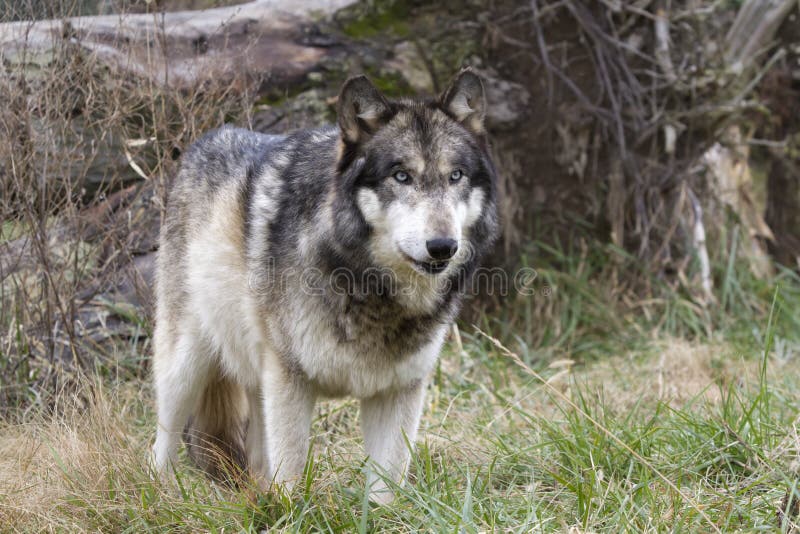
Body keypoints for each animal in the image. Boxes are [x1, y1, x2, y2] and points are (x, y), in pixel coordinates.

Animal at [151, 68, 499, 502]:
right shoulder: (291, 379)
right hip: (185, 368)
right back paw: (161, 498)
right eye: (401, 176)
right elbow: (290, 472)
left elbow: (385, 487)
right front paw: (290, 511)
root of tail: (205, 139)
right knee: (161, 444)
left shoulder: (399, 390)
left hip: (256, 377)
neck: (368, 288)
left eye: (456, 176)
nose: (442, 246)